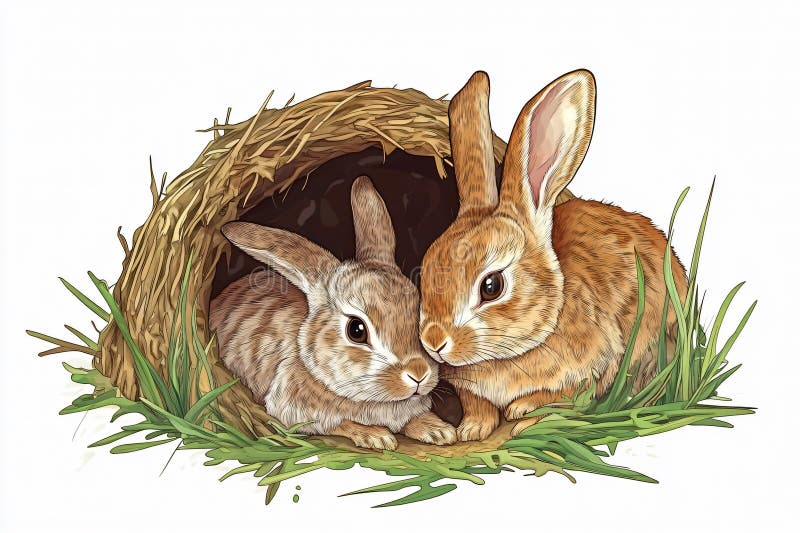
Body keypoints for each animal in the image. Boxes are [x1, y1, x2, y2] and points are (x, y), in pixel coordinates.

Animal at [210, 176, 457, 450]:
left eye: (418, 309)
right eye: (356, 330)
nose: (418, 373)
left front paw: (439, 431)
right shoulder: (293, 410)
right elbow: (339, 424)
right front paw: (376, 436)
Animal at [418, 70, 689, 441]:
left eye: (491, 286)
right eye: (425, 271)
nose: (434, 341)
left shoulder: (596, 363)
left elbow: (565, 398)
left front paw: (524, 414)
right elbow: (478, 403)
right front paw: (473, 428)